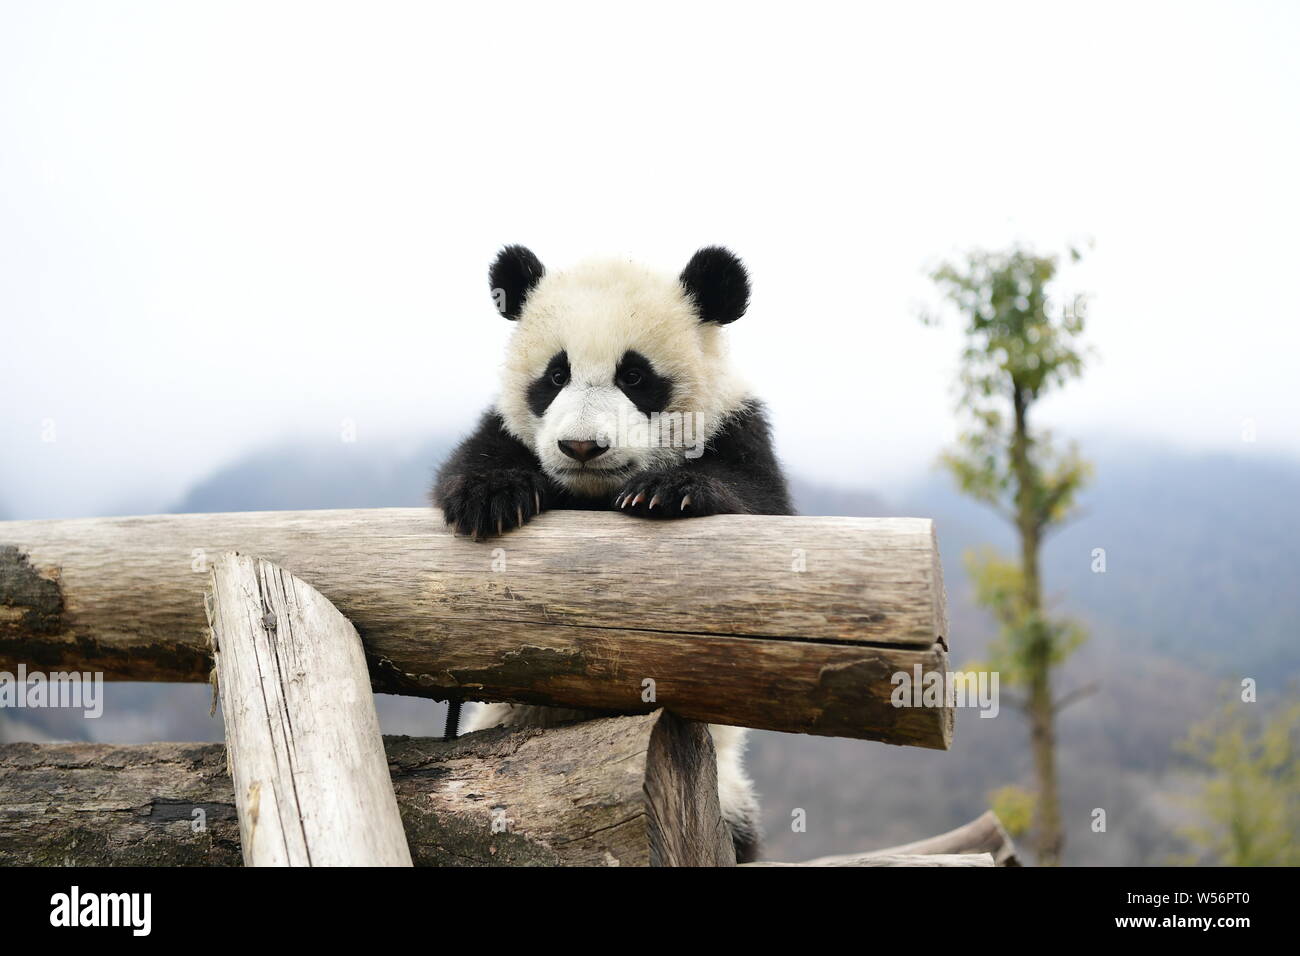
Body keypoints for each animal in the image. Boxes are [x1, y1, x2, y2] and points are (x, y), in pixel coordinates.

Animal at [432, 244, 793, 863]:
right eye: (556, 375)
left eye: (635, 375)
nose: (581, 446)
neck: (591, 493)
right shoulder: (504, 429)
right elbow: (473, 467)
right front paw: (490, 496)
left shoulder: (738, 427)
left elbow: (765, 513)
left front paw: (669, 491)